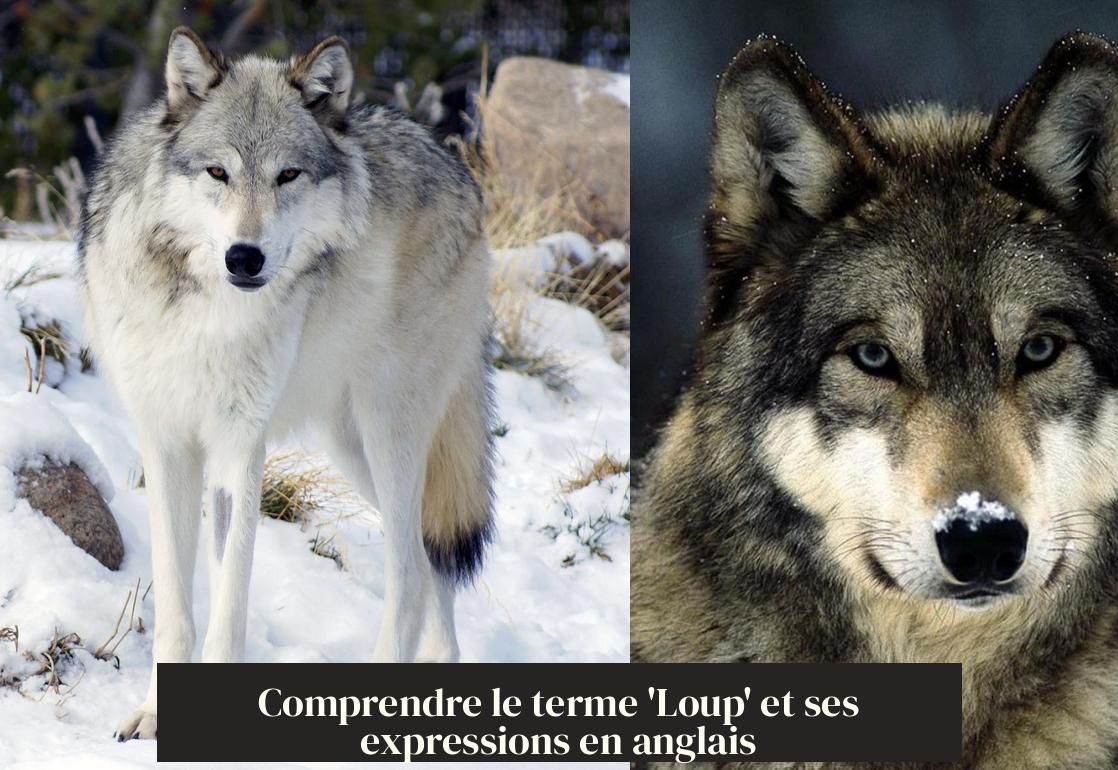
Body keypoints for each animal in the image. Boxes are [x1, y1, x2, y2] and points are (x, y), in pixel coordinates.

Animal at [78, 28, 493, 740]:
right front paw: (155, 719)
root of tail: (456, 167)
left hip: (389, 432)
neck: (205, 313)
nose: (245, 257)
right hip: (351, 446)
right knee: (429, 563)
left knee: (410, 576)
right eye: (218, 172)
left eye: (287, 175)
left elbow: (228, 610)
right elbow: (180, 611)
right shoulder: (167, 443)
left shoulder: (240, 447)